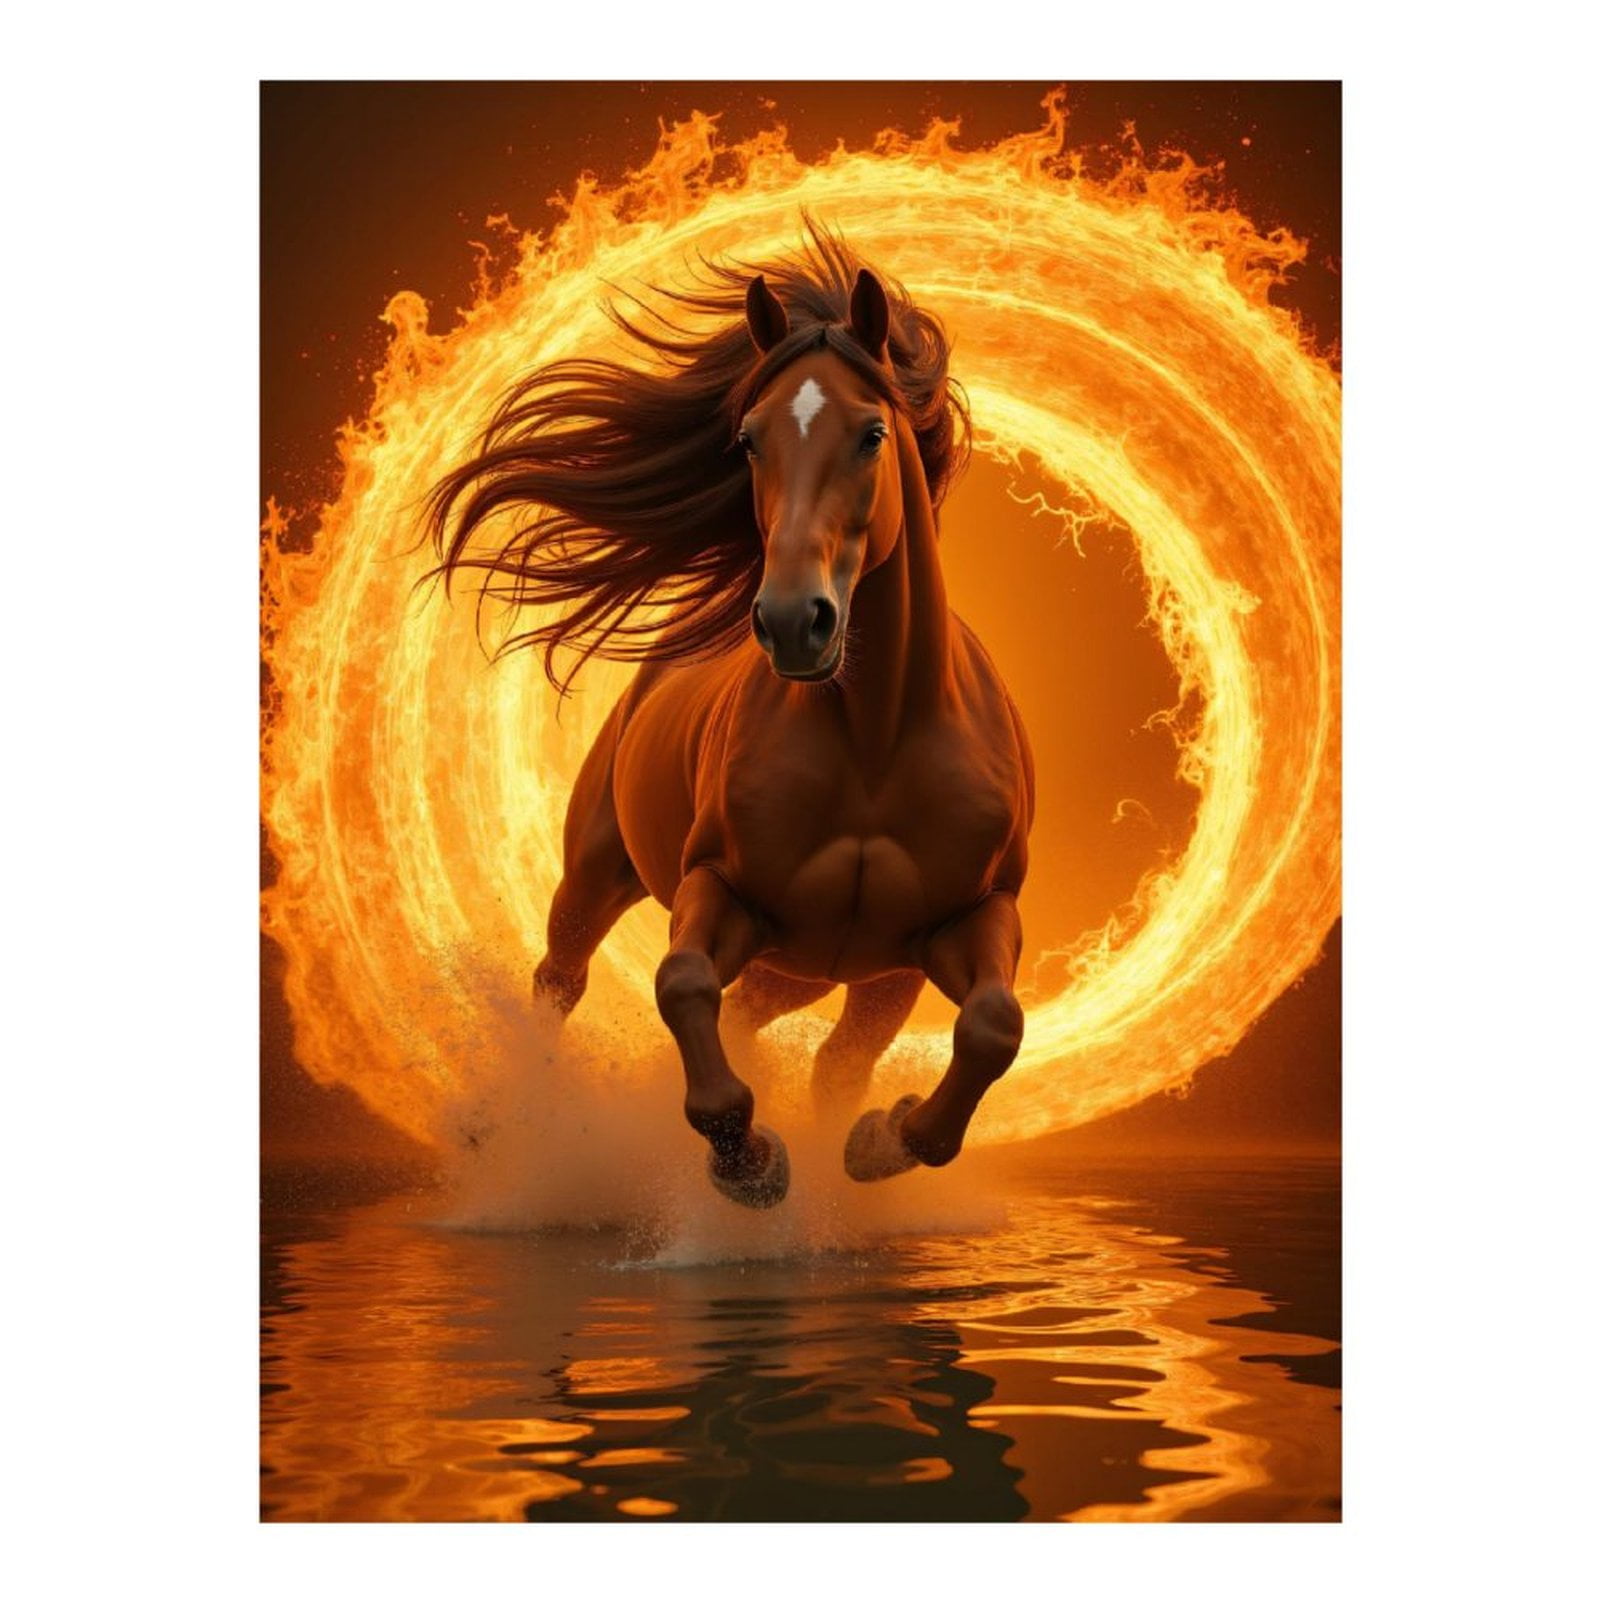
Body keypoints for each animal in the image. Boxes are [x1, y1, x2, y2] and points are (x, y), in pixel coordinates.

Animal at [426, 228, 1035, 1209]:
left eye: (871, 434)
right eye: (749, 440)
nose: (792, 620)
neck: (875, 743)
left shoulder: (960, 922)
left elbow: (991, 1025)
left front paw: (885, 1138)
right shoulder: (721, 889)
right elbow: (680, 986)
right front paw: (749, 1162)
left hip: (838, 972)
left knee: (806, 1040)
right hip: (599, 874)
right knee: (561, 980)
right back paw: (513, 1121)